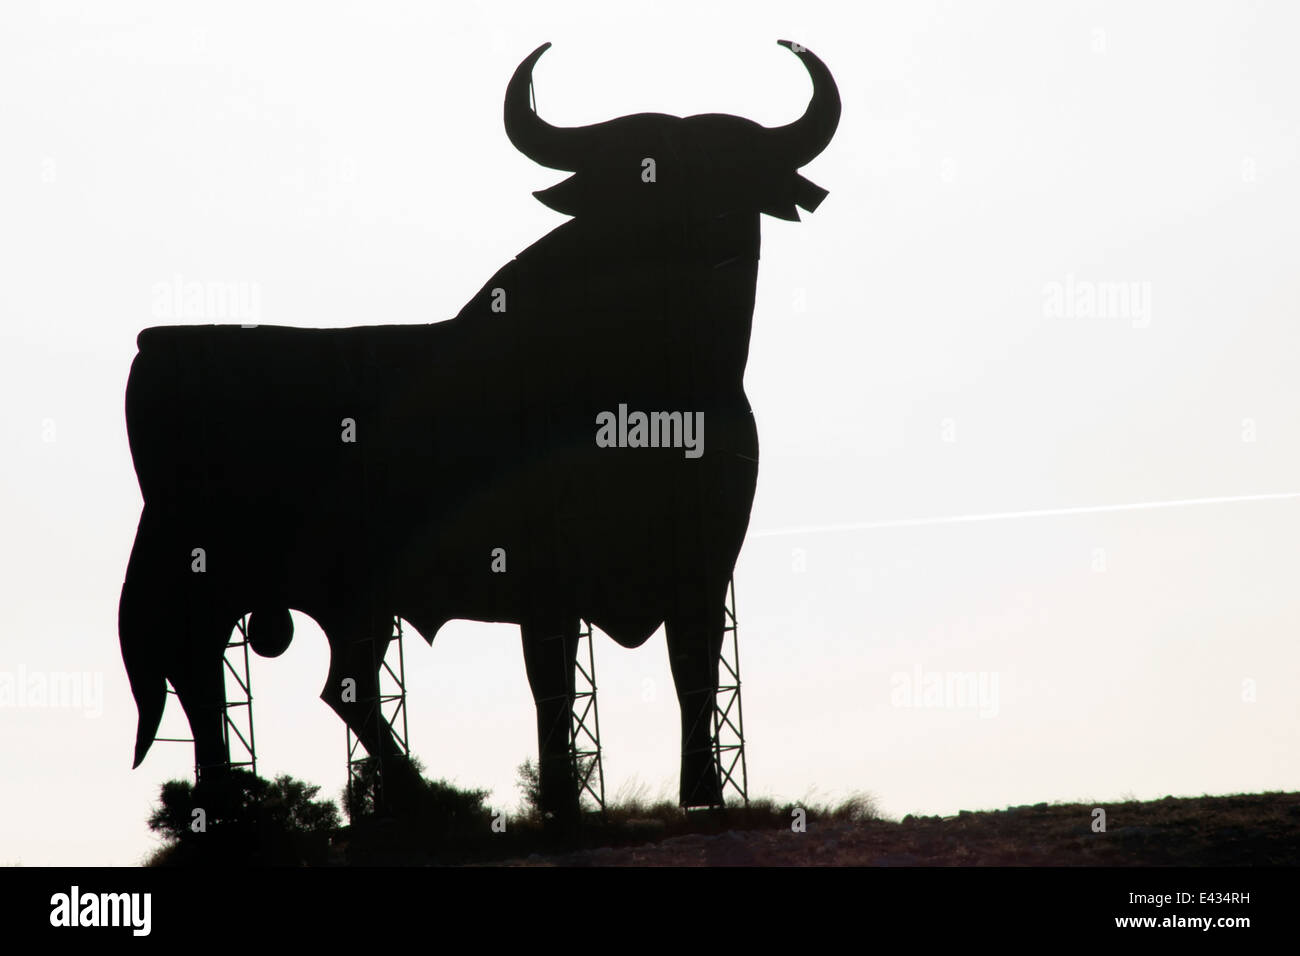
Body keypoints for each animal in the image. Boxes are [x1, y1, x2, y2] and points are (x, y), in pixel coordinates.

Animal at [119, 40, 840, 820]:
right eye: (633, 182)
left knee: (328, 684)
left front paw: (703, 795)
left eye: (730, 174)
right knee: (202, 674)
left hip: (345, 599)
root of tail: (155, 348)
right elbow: (553, 683)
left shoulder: (704, 567)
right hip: (207, 570)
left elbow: (694, 675)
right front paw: (562, 801)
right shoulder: (545, 576)